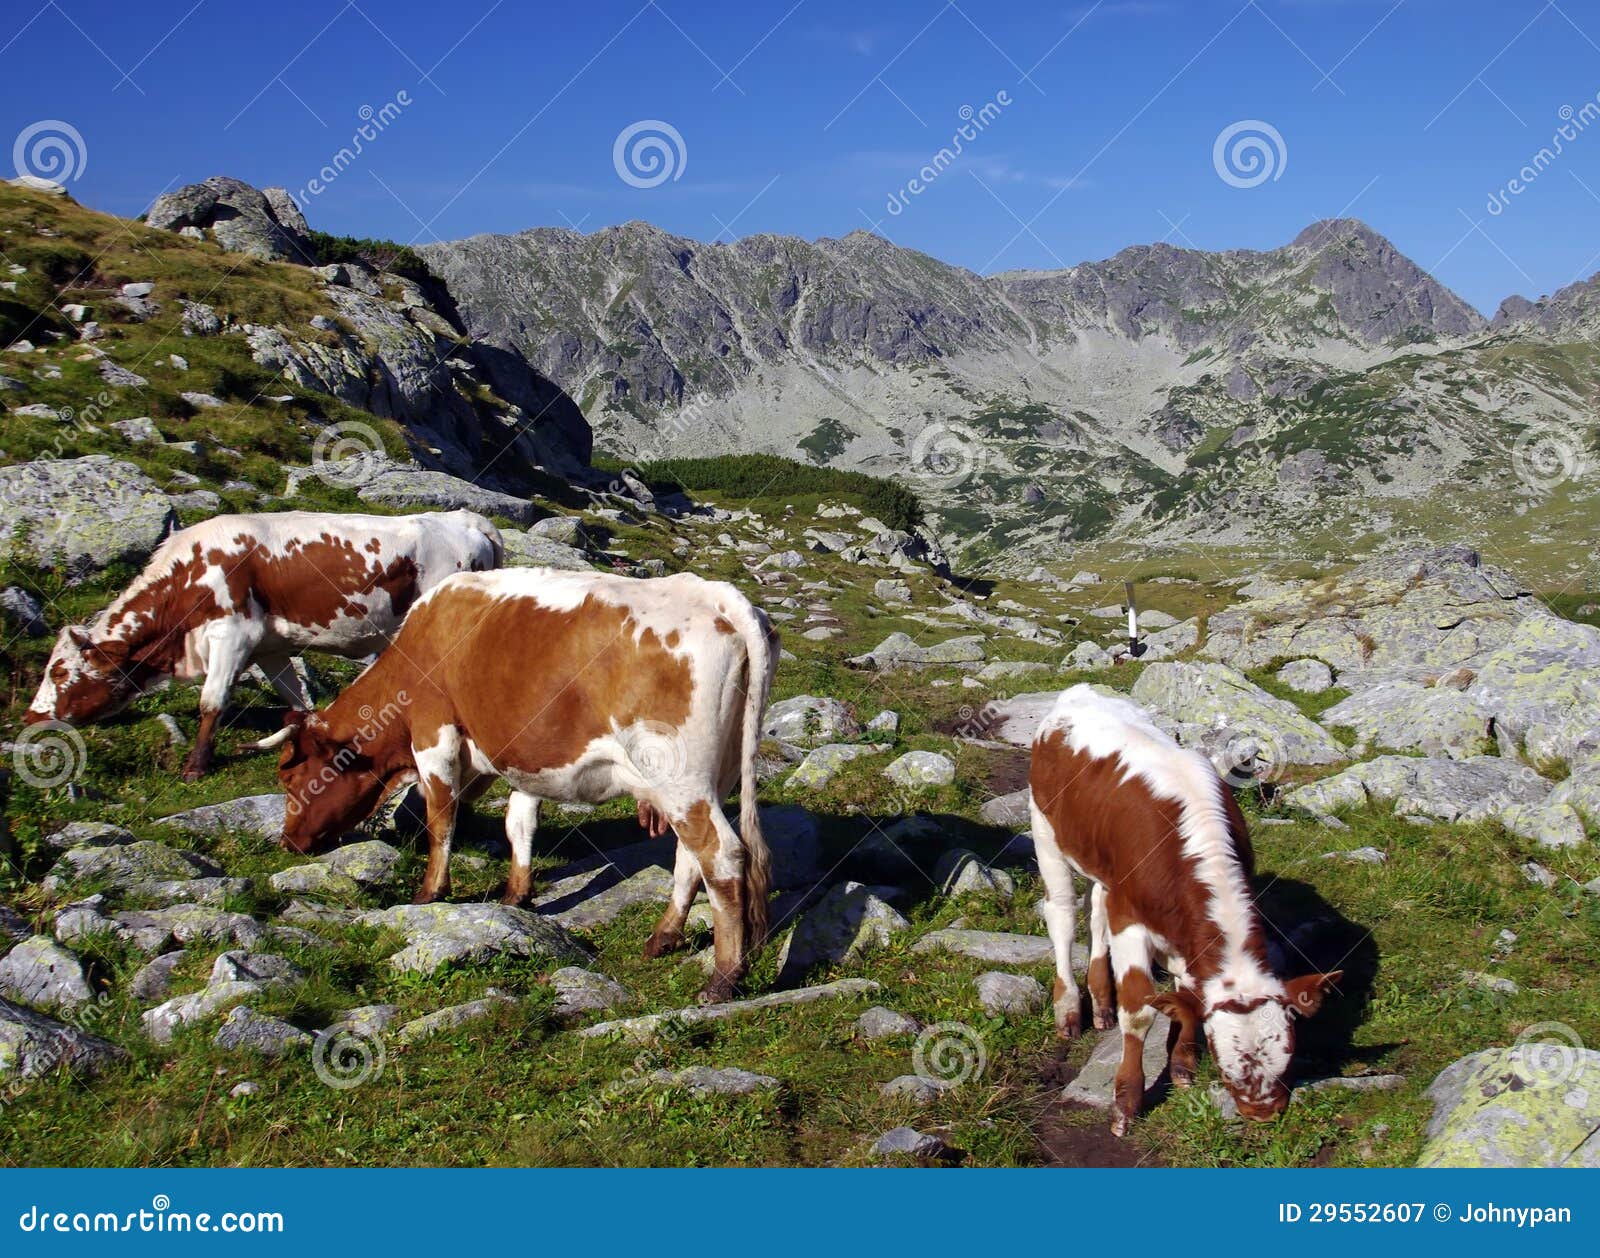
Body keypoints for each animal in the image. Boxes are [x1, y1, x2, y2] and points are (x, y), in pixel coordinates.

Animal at [25, 510, 503, 780]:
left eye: (59, 671)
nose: (31, 717)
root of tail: (468, 520)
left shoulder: (232, 635)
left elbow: (211, 701)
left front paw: (196, 767)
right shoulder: (269, 647)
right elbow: (295, 700)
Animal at [269, 567, 780, 1003]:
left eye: (290, 775)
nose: (288, 842)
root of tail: (718, 596)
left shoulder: (434, 735)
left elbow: (441, 820)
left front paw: (431, 892)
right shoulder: (525, 757)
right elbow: (519, 822)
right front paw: (517, 894)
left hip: (679, 777)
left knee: (721, 856)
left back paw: (724, 977)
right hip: (712, 777)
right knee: (690, 858)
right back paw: (664, 936)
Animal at [1028, 684, 1341, 1135]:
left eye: (1286, 1062)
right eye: (1229, 1072)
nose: (1263, 1114)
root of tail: (1080, 692)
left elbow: (1188, 997)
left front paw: (1182, 1064)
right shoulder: (1131, 921)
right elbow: (1140, 1012)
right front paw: (1126, 1103)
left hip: (1103, 865)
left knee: (1096, 910)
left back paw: (1101, 1002)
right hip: (1046, 831)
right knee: (1064, 916)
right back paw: (1069, 1009)